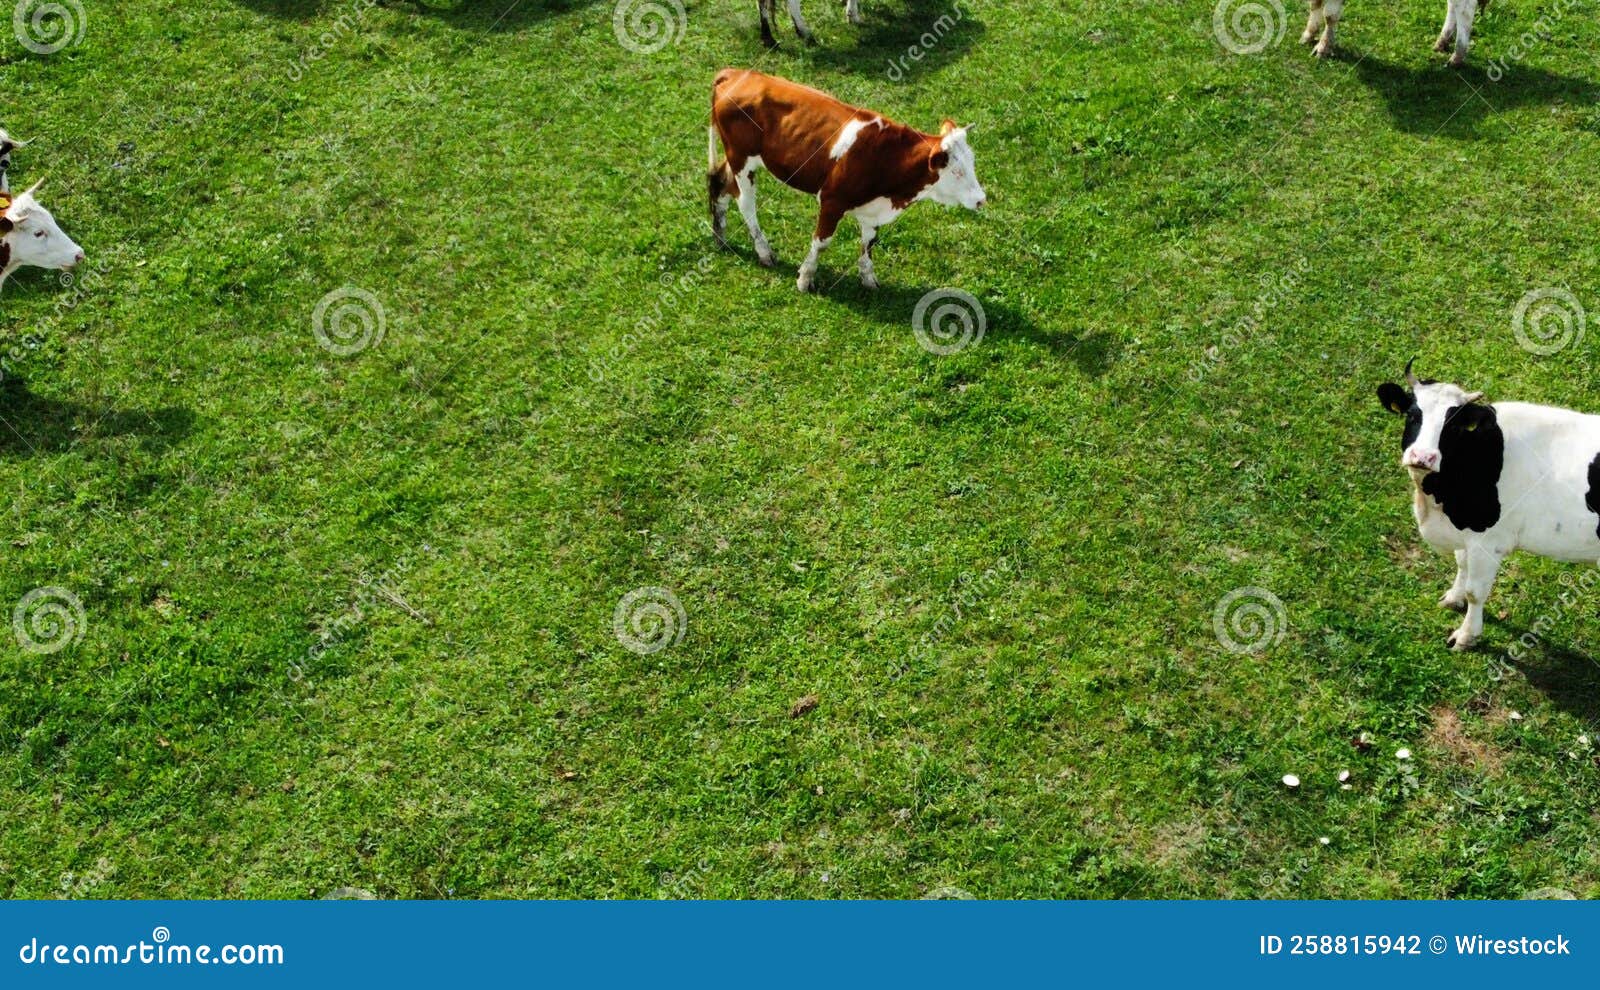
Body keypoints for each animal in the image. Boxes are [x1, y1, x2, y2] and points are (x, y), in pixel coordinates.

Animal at [707, 69, 986, 293]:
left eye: (972, 162)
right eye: (956, 171)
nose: (981, 200)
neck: (887, 156)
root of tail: (734, 73)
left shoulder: (873, 209)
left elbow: (869, 242)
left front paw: (868, 278)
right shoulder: (831, 201)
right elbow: (821, 242)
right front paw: (805, 279)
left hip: (736, 158)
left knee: (720, 184)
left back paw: (720, 237)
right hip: (741, 159)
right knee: (745, 203)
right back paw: (764, 252)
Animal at [1304, 0, 1485, 66]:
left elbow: (1330, 16)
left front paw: (1323, 47)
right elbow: (1315, 4)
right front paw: (1309, 34)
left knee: (1466, 8)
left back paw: (1457, 56)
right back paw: (1442, 42)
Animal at [1376, 359, 1600, 651]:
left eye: (1453, 425)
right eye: (1413, 415)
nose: (1422, 457)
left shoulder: (1489, 541)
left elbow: (1476, 592)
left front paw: (1466, 636)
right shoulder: (1465, 533)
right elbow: (1461, 565)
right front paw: (1453, 598)